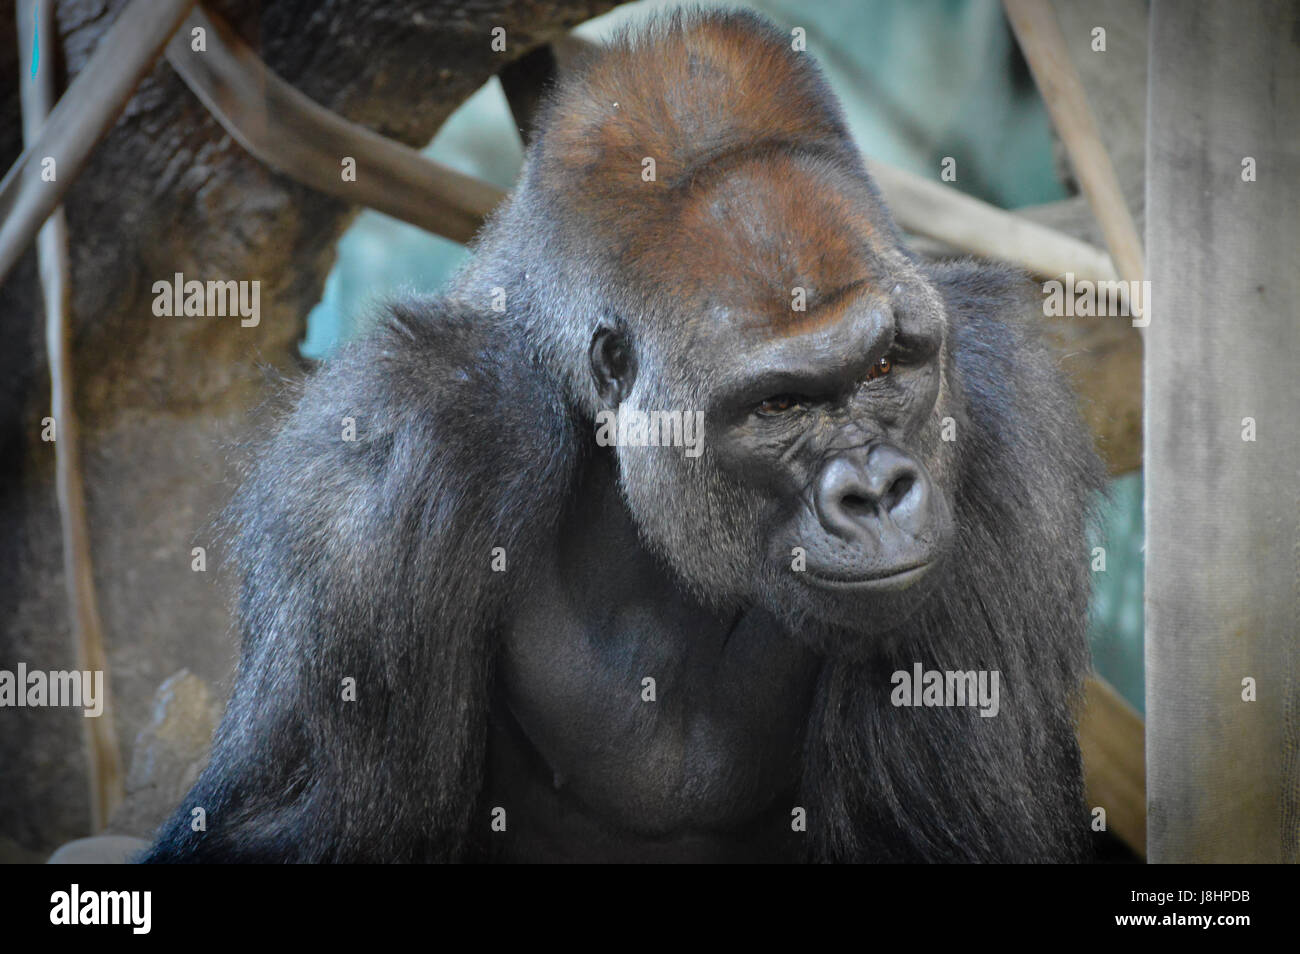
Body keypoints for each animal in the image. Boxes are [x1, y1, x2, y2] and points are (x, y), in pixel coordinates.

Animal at [143, 8, 1104, 863]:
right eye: (779, 407)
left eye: (884, 367)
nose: (877, 492)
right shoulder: (388, 463)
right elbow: (293, 828)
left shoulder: (1005, 420)